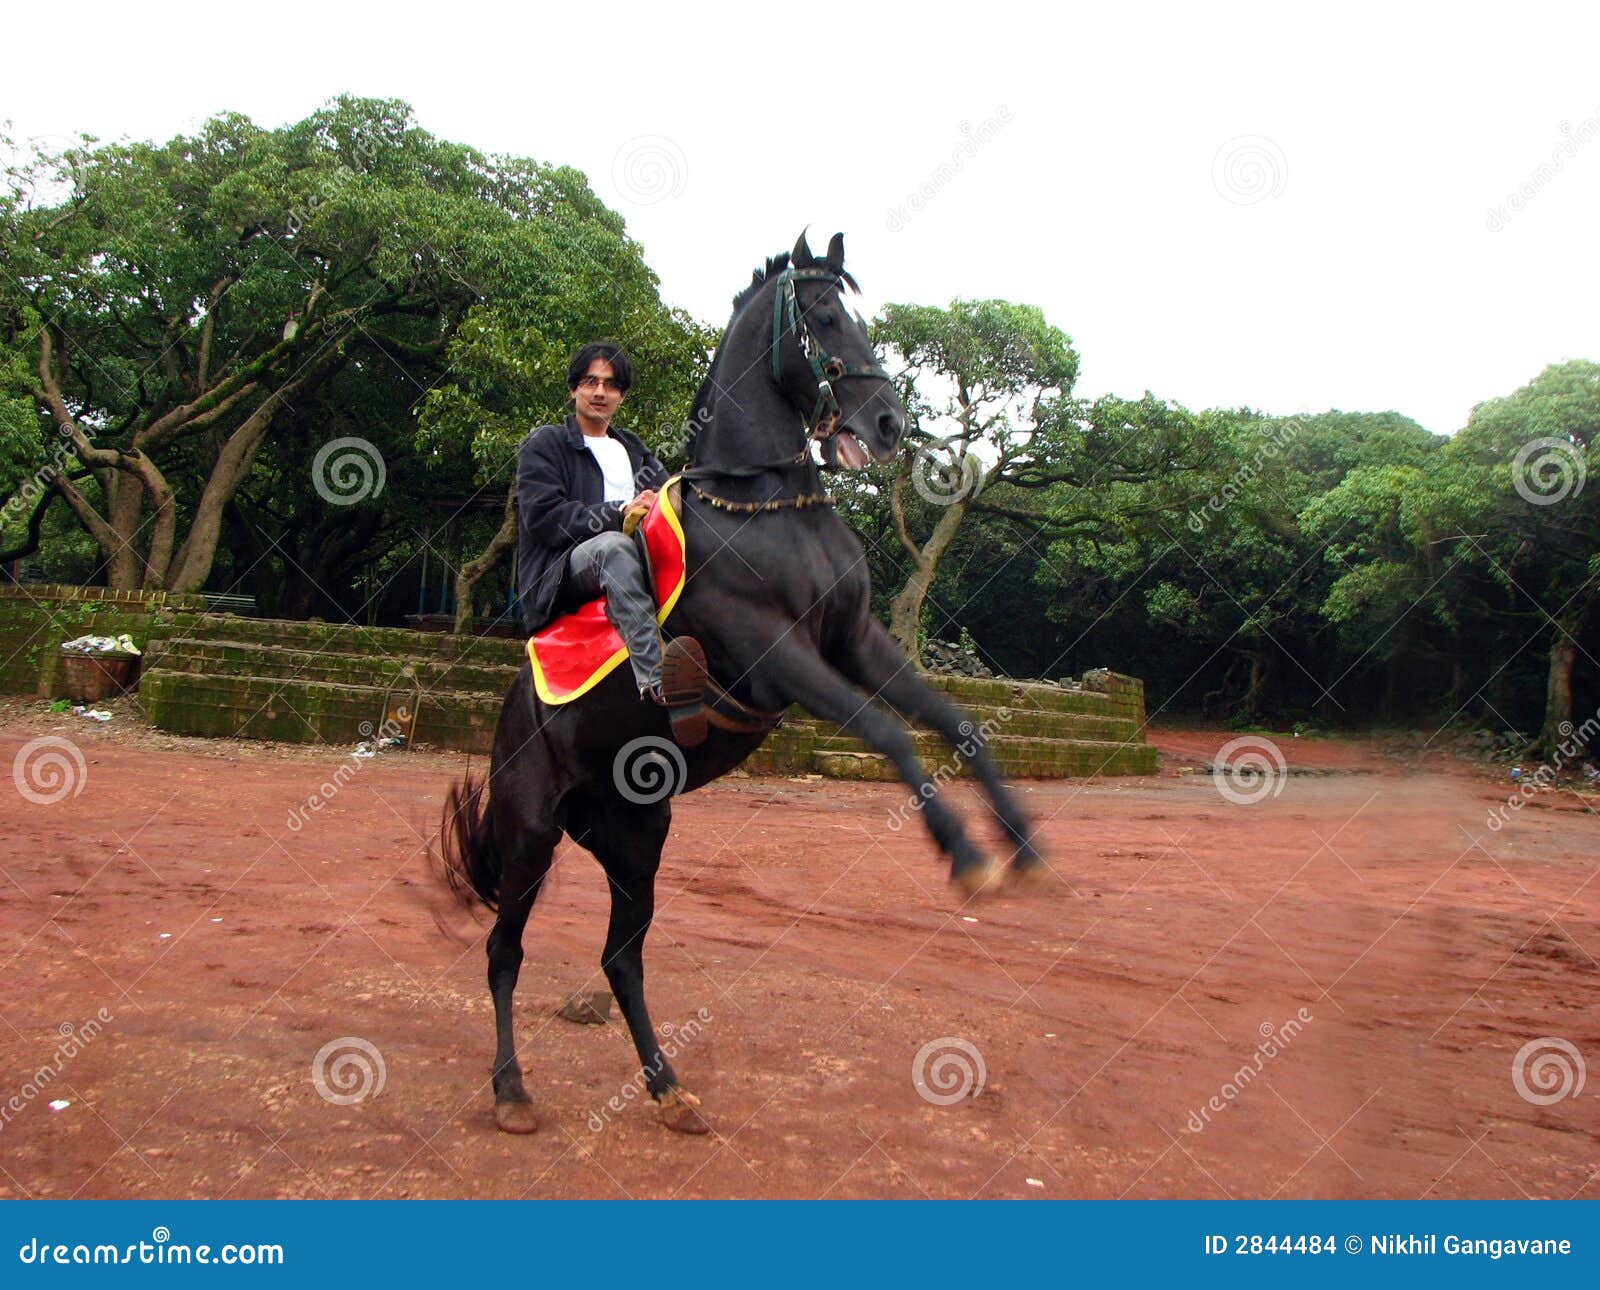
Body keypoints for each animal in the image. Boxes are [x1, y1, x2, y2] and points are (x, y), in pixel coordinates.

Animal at [438, 232, 1045, 1136]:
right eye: (823, 316)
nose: (889, 423)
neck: (766, 505)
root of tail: (514, 710)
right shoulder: (775, 651)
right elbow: (889, 731)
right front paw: (967, 856)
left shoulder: (854, 639)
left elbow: (952, 722)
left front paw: (1023, 844)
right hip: (530, 832)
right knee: (503, 949)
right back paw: (512, 1090)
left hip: (634, 836)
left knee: (621, 960)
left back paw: (668, 1088)